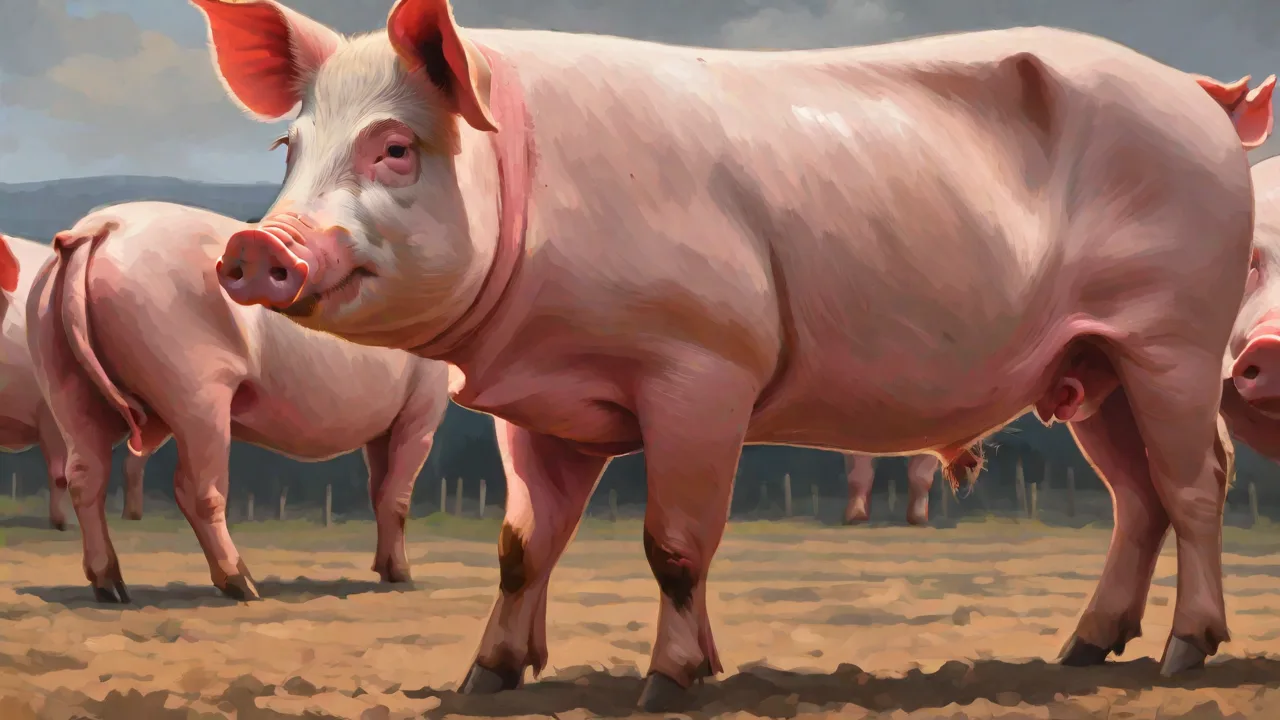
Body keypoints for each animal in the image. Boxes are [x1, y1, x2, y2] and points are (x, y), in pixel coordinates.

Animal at [26, 201, 451, 603]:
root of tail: (101, 227)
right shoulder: (424, 408)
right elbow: (397, 497)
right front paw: (402, 576)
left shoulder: (387, 423)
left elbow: (379, 489)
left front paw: (384, 569)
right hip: (195, 385)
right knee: (197, 487)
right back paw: (242, 584)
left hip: (61, 373)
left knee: (85, 475)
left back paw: (112, 588)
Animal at [192, 0, 1273, 709]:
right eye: (290, 149)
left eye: (395, 147)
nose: (254, 245)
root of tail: (1198, 97)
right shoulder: (537, 405)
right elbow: (521, 547)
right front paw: (484, 680)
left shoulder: (703, 365)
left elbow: (674, 544)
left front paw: (668, 687)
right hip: (1091, 366)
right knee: (1133, 498)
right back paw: (1079, 654)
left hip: (1172, 332)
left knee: (1196, 483)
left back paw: (1182, 657)